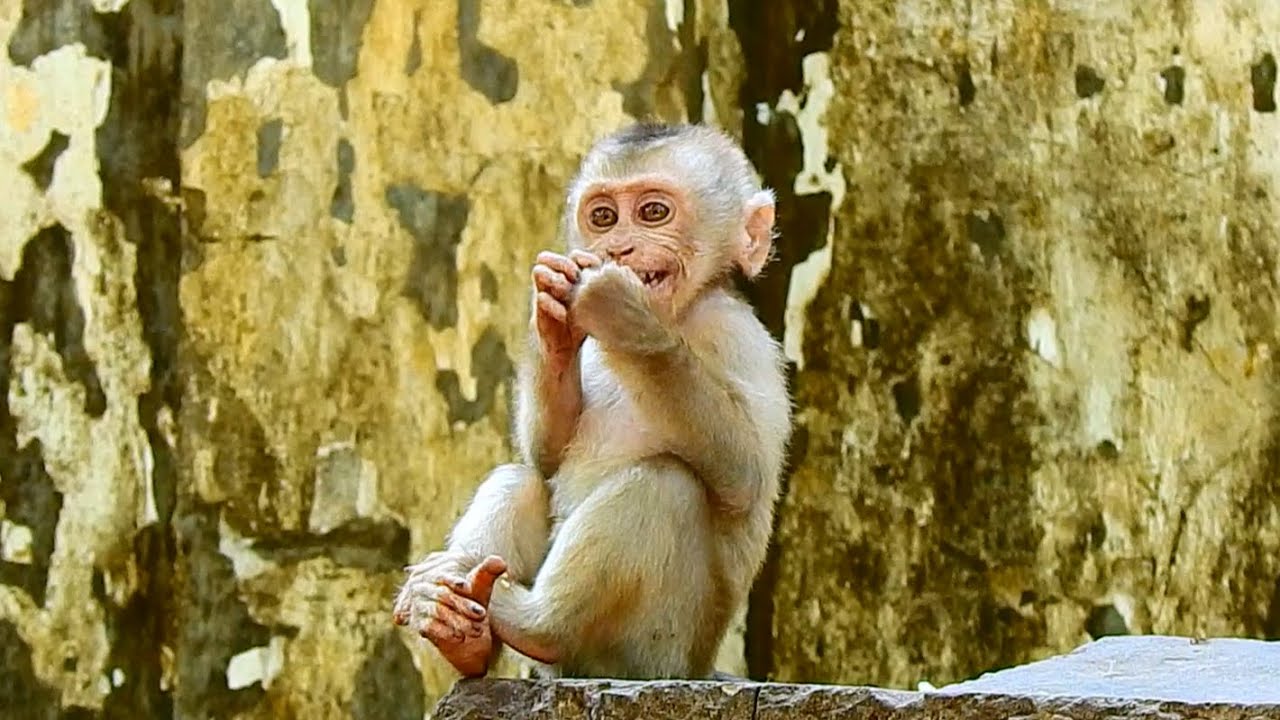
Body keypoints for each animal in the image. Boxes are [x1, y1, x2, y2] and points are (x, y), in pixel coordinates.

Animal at [391, 122, 791, 681]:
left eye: (653, 212)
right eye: (603, 217)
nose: (618, 248)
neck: (678, 315)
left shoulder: (736, 335)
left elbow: (744, 474)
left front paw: (620, 311)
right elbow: (546, 456)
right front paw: (552, 326)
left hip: (655, 650)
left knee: (665, 483)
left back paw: (534, 624)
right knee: (521, 477)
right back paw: (459, 627)